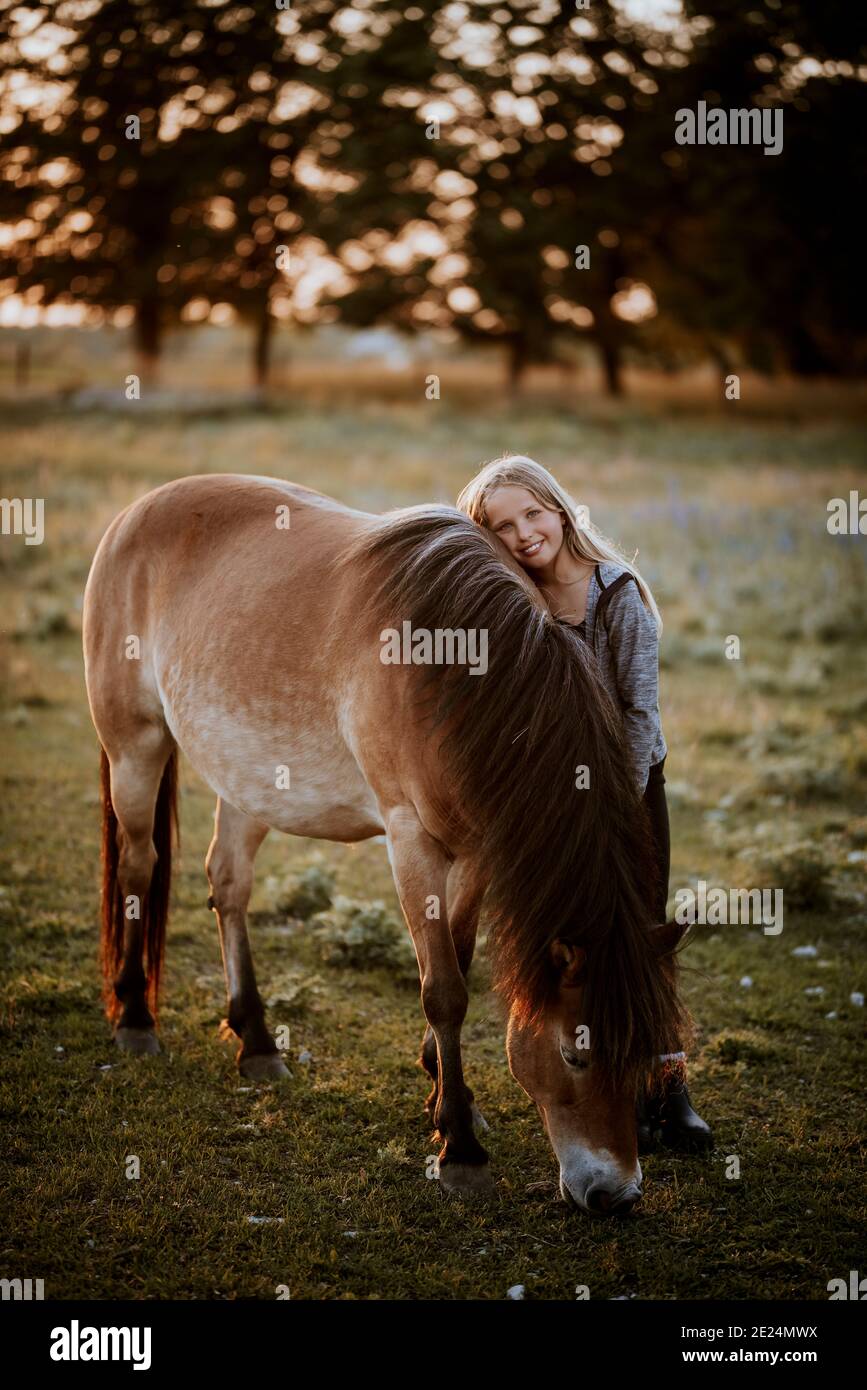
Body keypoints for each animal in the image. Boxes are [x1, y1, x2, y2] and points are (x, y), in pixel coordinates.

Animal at [82, 474, 689, 1215]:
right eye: (576, 1055)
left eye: (639, 1054)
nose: (616, 1194)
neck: (453, 669)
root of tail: (134, 513)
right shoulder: (410, 841)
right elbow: (444, 990)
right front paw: (459, 1146)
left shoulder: (477, 850)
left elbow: (458, 956)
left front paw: (447, 1097)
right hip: (134, 748)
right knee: (139, 870)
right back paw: (136, 1019)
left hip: (246, 779)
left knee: (227, 885)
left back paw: (256, 1040)